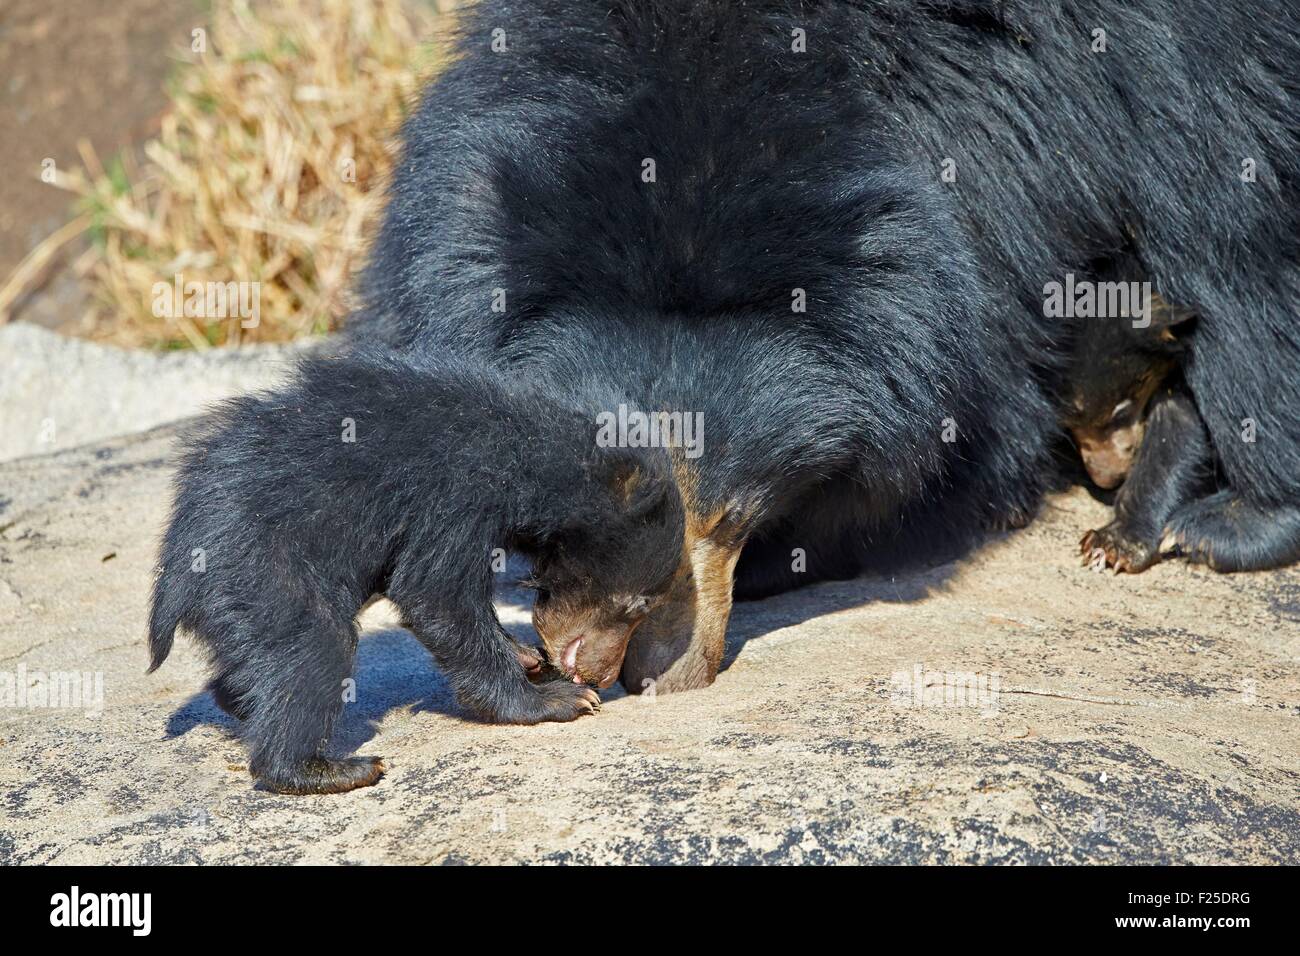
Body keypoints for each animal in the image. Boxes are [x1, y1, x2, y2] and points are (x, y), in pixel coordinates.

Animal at [147, 348, 685, 794]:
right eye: (636, 603)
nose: (603, 678)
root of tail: (174, 566)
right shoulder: (455, 493)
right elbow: (435, 591)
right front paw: (556, 698)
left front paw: (527, 656)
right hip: (262, 567)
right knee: (316, 646)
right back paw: (329, 769)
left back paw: (241, 700)